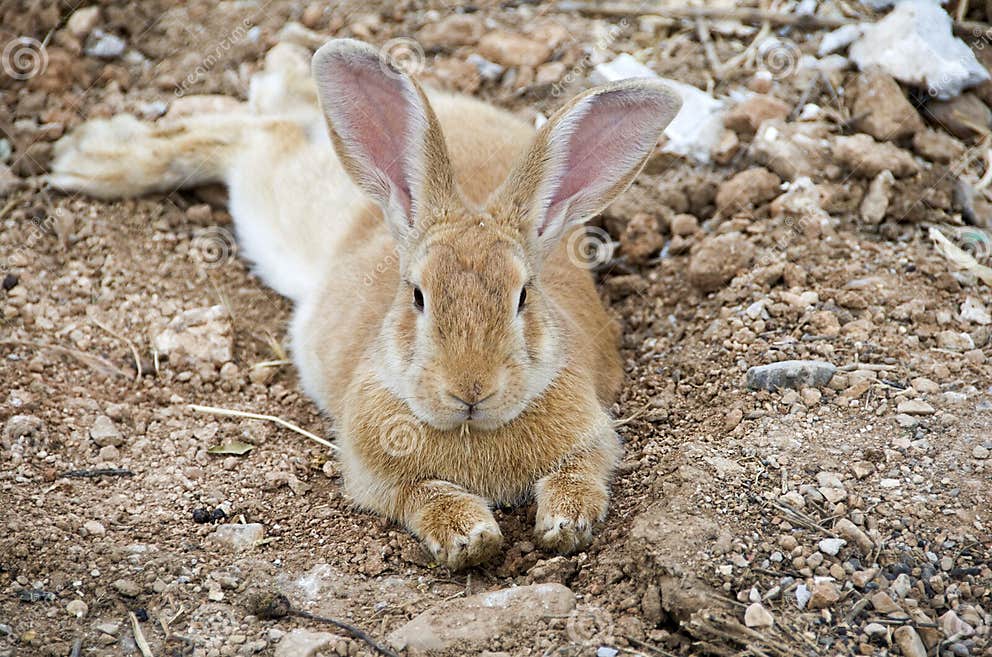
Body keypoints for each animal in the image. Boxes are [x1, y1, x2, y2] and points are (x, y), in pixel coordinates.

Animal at [50, 38, 682, 569]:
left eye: (523, 295)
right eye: (417, 295)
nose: (470, 390)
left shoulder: (595, 439)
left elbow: (582, 477)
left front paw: (563, 526)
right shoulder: (373, 471)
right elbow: (421, 494)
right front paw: (471, 537)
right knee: (256, 136)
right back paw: (89, 160)